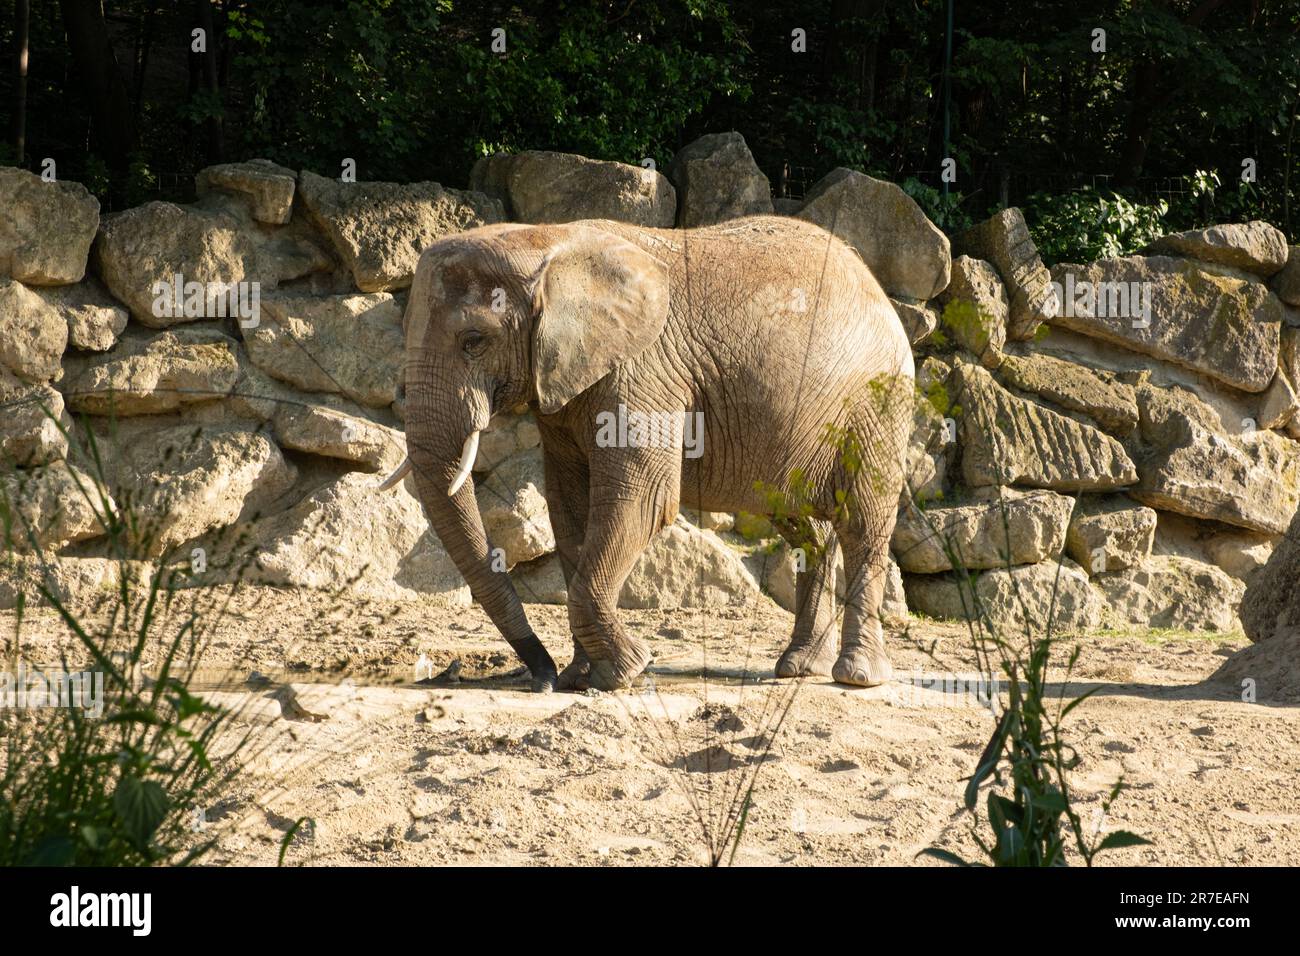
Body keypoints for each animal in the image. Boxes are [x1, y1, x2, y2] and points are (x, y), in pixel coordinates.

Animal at [379, 215, 916, 693]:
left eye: (473, 341)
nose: (541, 677)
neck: (545, 240)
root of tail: (876, 288)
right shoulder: (566, 386)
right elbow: (568, 507)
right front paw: (582, 678)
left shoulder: (642, 373)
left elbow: (642, 499)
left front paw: (624, 672)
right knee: (805, 526)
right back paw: (798, 667)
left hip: (878, 404)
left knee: (863, 523)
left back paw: (857, 677)